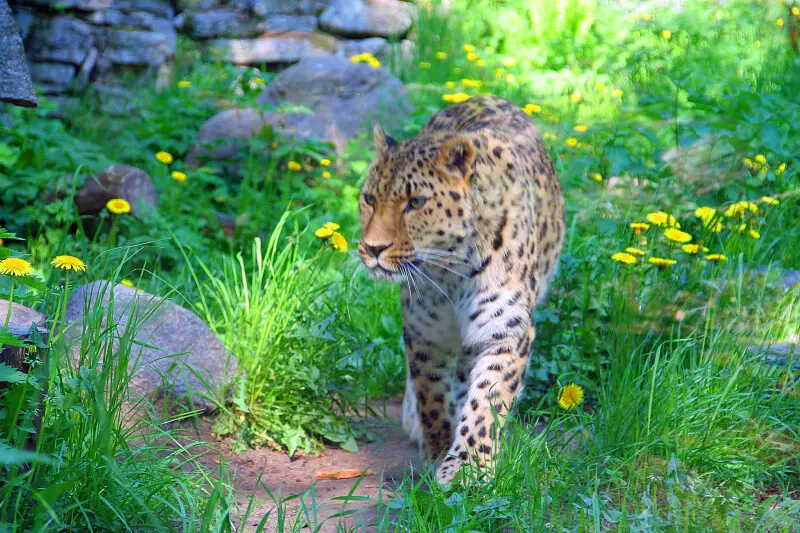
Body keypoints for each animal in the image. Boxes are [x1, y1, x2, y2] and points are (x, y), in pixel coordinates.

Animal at [357, 95, 565, 483]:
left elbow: (487, 401)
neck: (449, 270)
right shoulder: (424, 331)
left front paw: (467, 468)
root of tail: (484, 97)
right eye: (369, 199)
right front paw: (437, 446)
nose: (374, 248)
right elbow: (430, 392)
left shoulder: (506, 330)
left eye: (416, 203)